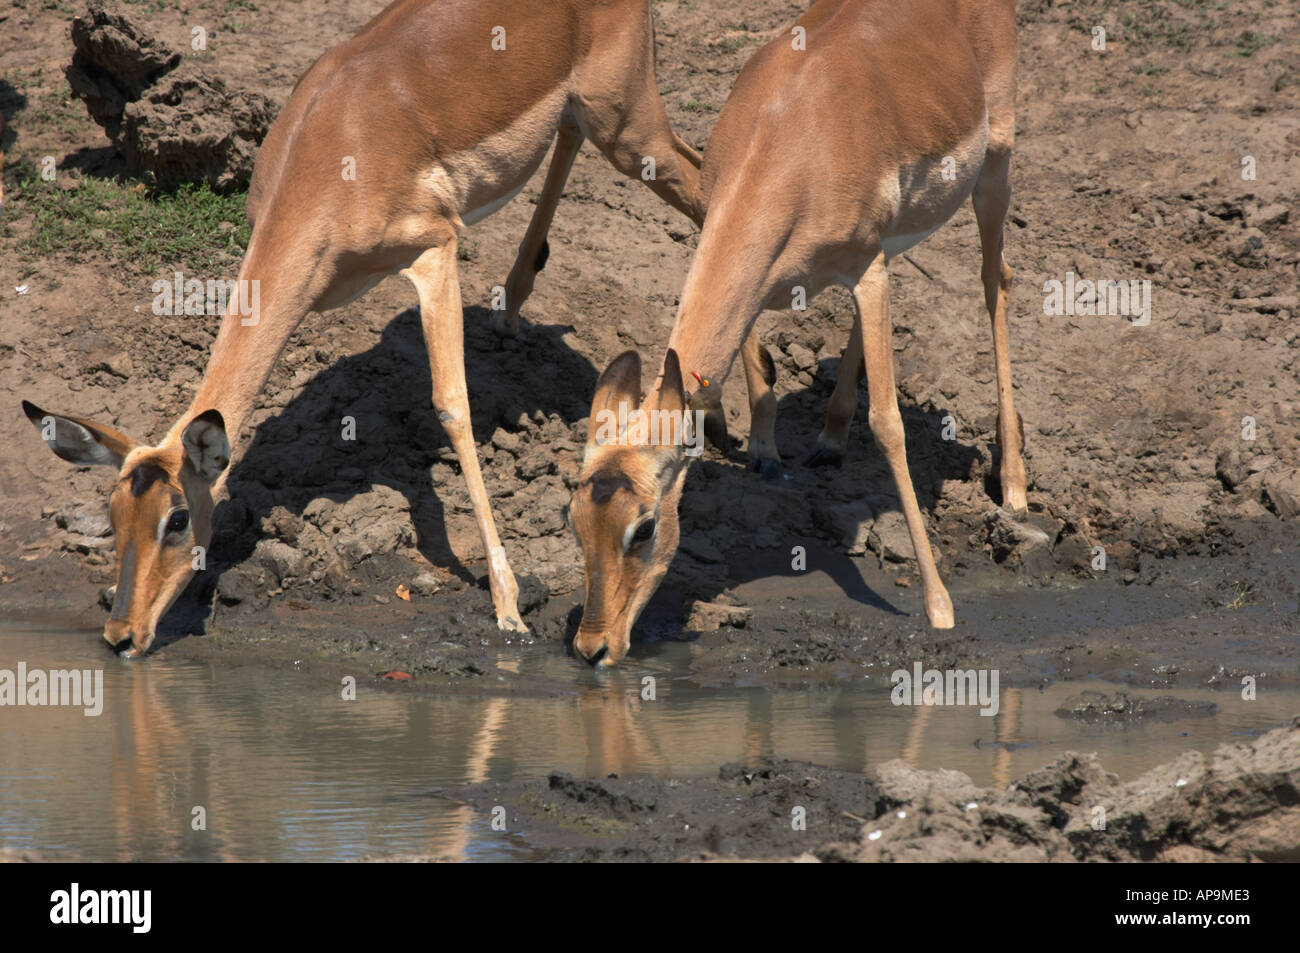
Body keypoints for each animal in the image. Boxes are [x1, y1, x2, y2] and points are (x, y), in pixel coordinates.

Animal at [21, 0, 787, 656]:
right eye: (114, 514)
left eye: (178, 518)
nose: (121, 634)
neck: (330, 156)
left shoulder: (435, 250)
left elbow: (452, 405)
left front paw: (508, 609)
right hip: (598, 124)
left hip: (628, 128)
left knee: (710, 194)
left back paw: (762, 440)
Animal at [568, 0, 1028, 666]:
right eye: (574, 516)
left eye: (644, 526)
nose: (592, 648)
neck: (790, 143)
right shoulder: (761, 257)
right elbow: (748, 367)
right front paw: (764, 451)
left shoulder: (865, 270)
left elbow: (888, 423)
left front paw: (939, 606)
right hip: (899, 238)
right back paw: (829, 440)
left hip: (995, 166)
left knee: (998, 281)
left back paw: (1014, 489)